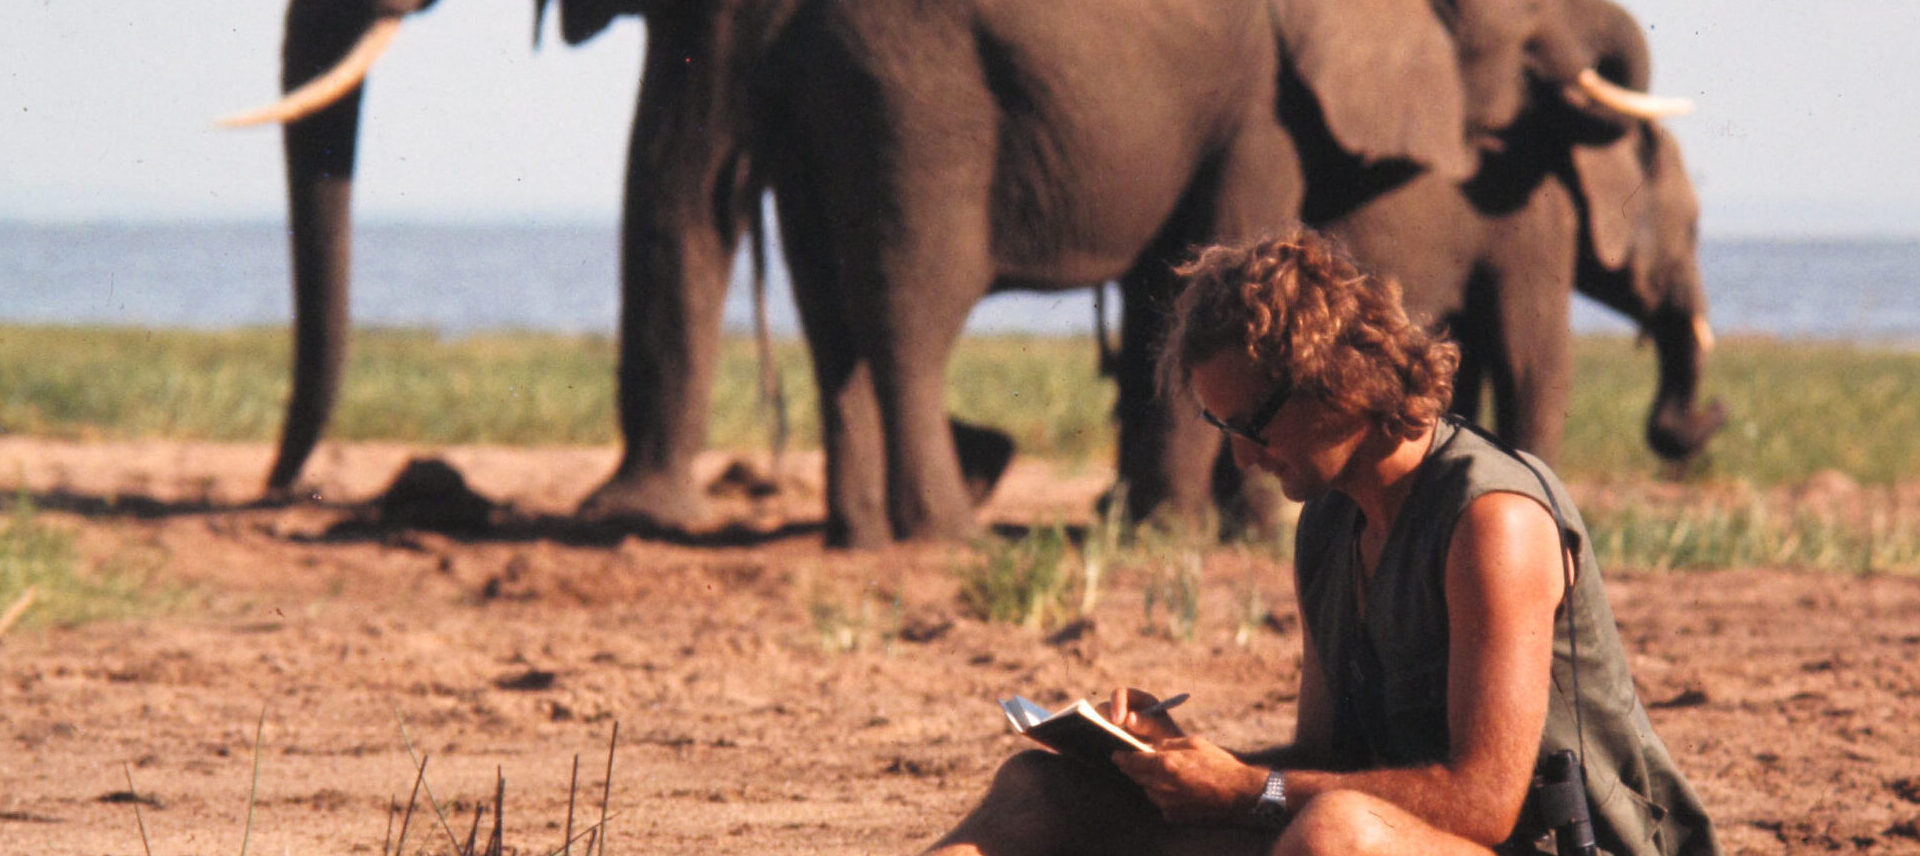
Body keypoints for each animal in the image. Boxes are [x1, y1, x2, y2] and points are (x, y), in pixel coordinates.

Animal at [235, 0, 1681, 547]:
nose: (287, 489)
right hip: (910, 93)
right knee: (902, 302)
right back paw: (928, 532)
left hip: (871, 93)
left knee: (854, 310)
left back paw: (883, 532)